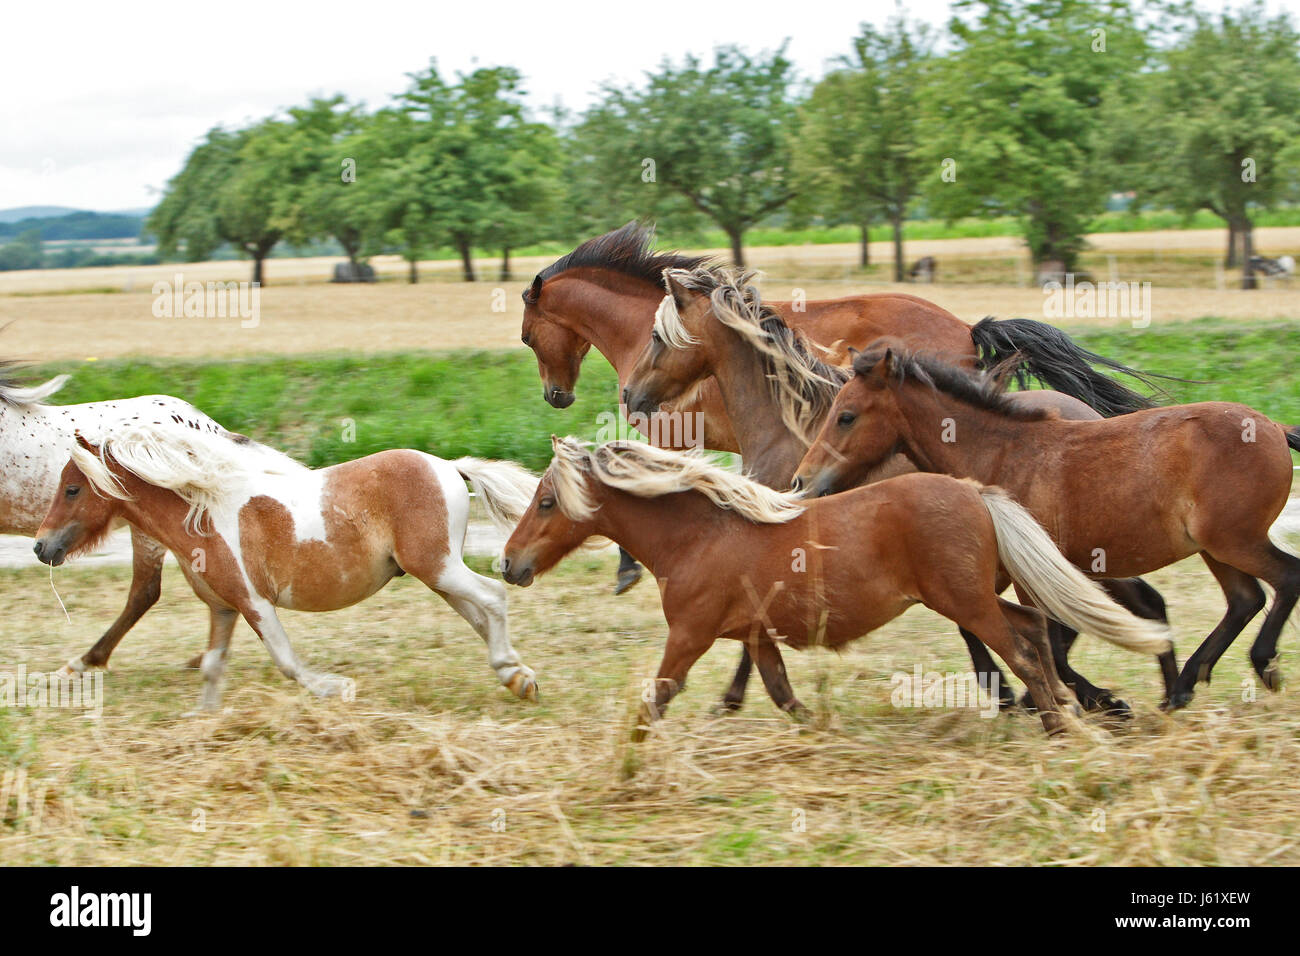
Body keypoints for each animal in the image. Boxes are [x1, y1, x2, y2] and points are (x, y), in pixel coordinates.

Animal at [0, 363, 242, 675]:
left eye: (72, 489)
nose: (42, 548)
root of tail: (210, 427)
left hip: (152, 529)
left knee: (145, 592)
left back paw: (85, 660)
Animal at [33, 424, 541, 712]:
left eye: (72, 489)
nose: (41, 546)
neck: (204, 515)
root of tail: (450, 467)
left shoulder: (254, 602)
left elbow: (286, 662)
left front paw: (336, 689)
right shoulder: (223, 608)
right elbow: (212, 667)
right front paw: (203, 720)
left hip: (438, 568)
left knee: (493, 597)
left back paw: (514, 673)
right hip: (437, 576)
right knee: (479, 615)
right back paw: (518, 678)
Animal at [500, 438, 1172, 739]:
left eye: (545, 500)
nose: (509, 564)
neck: (698, 535)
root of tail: (973, 493)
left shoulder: (689, 635)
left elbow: (657, 698)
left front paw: (625, 759)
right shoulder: (755, 637)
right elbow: (782, 695)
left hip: (966, 603)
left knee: (1025, 652)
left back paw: (1060, 726)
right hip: (977, 599)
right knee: (1033, 630)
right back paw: (1067, 708)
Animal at [623, 266, 1176, 715]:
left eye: (656, 334)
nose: (630, 394)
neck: (789, 427)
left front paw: (731, 699)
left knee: (1105, 612)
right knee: (1121, 607)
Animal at [791, 348, 1300, 709]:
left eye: (847, 416)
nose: (801, 480)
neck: (999, 455)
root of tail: (1274, 426)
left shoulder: (1026, 575)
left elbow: (1047, 643)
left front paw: (1099, 702)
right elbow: (1037, 640)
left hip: (1234, 541)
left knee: (1284, 578)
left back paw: (1259, 665)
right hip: (1215, 547)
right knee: (1244, 599)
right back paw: (1181, 690)